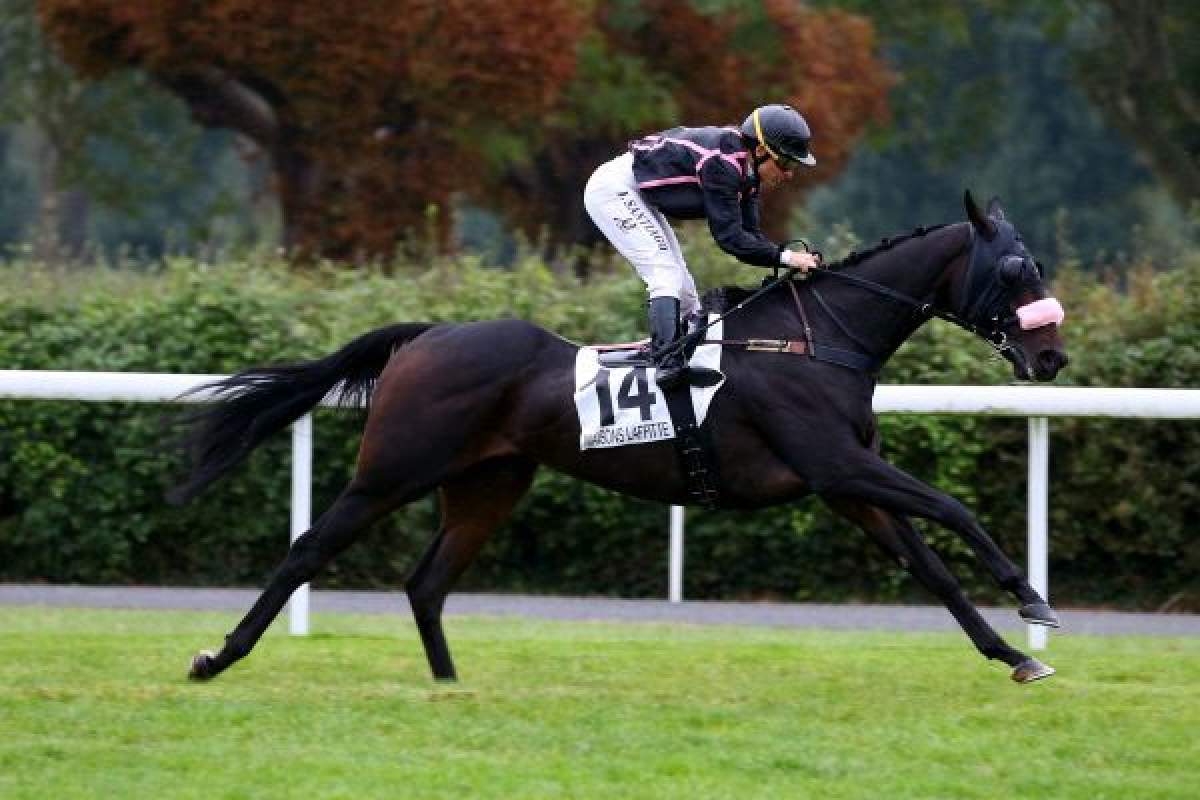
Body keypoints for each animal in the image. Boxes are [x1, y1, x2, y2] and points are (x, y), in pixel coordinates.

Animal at [174, 191, 1068, 686]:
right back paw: (216, 658)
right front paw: (1032, 600)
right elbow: (954, 511)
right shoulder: (838, 464)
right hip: (391, 471)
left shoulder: (846, 483)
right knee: (307, 551)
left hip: (489, 482)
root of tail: (428, 336)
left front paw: (1013, 653)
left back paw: (452, 686)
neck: (817, 337)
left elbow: (930, 568)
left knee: (427, 584)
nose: (1052, 356)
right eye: (1018, 270)